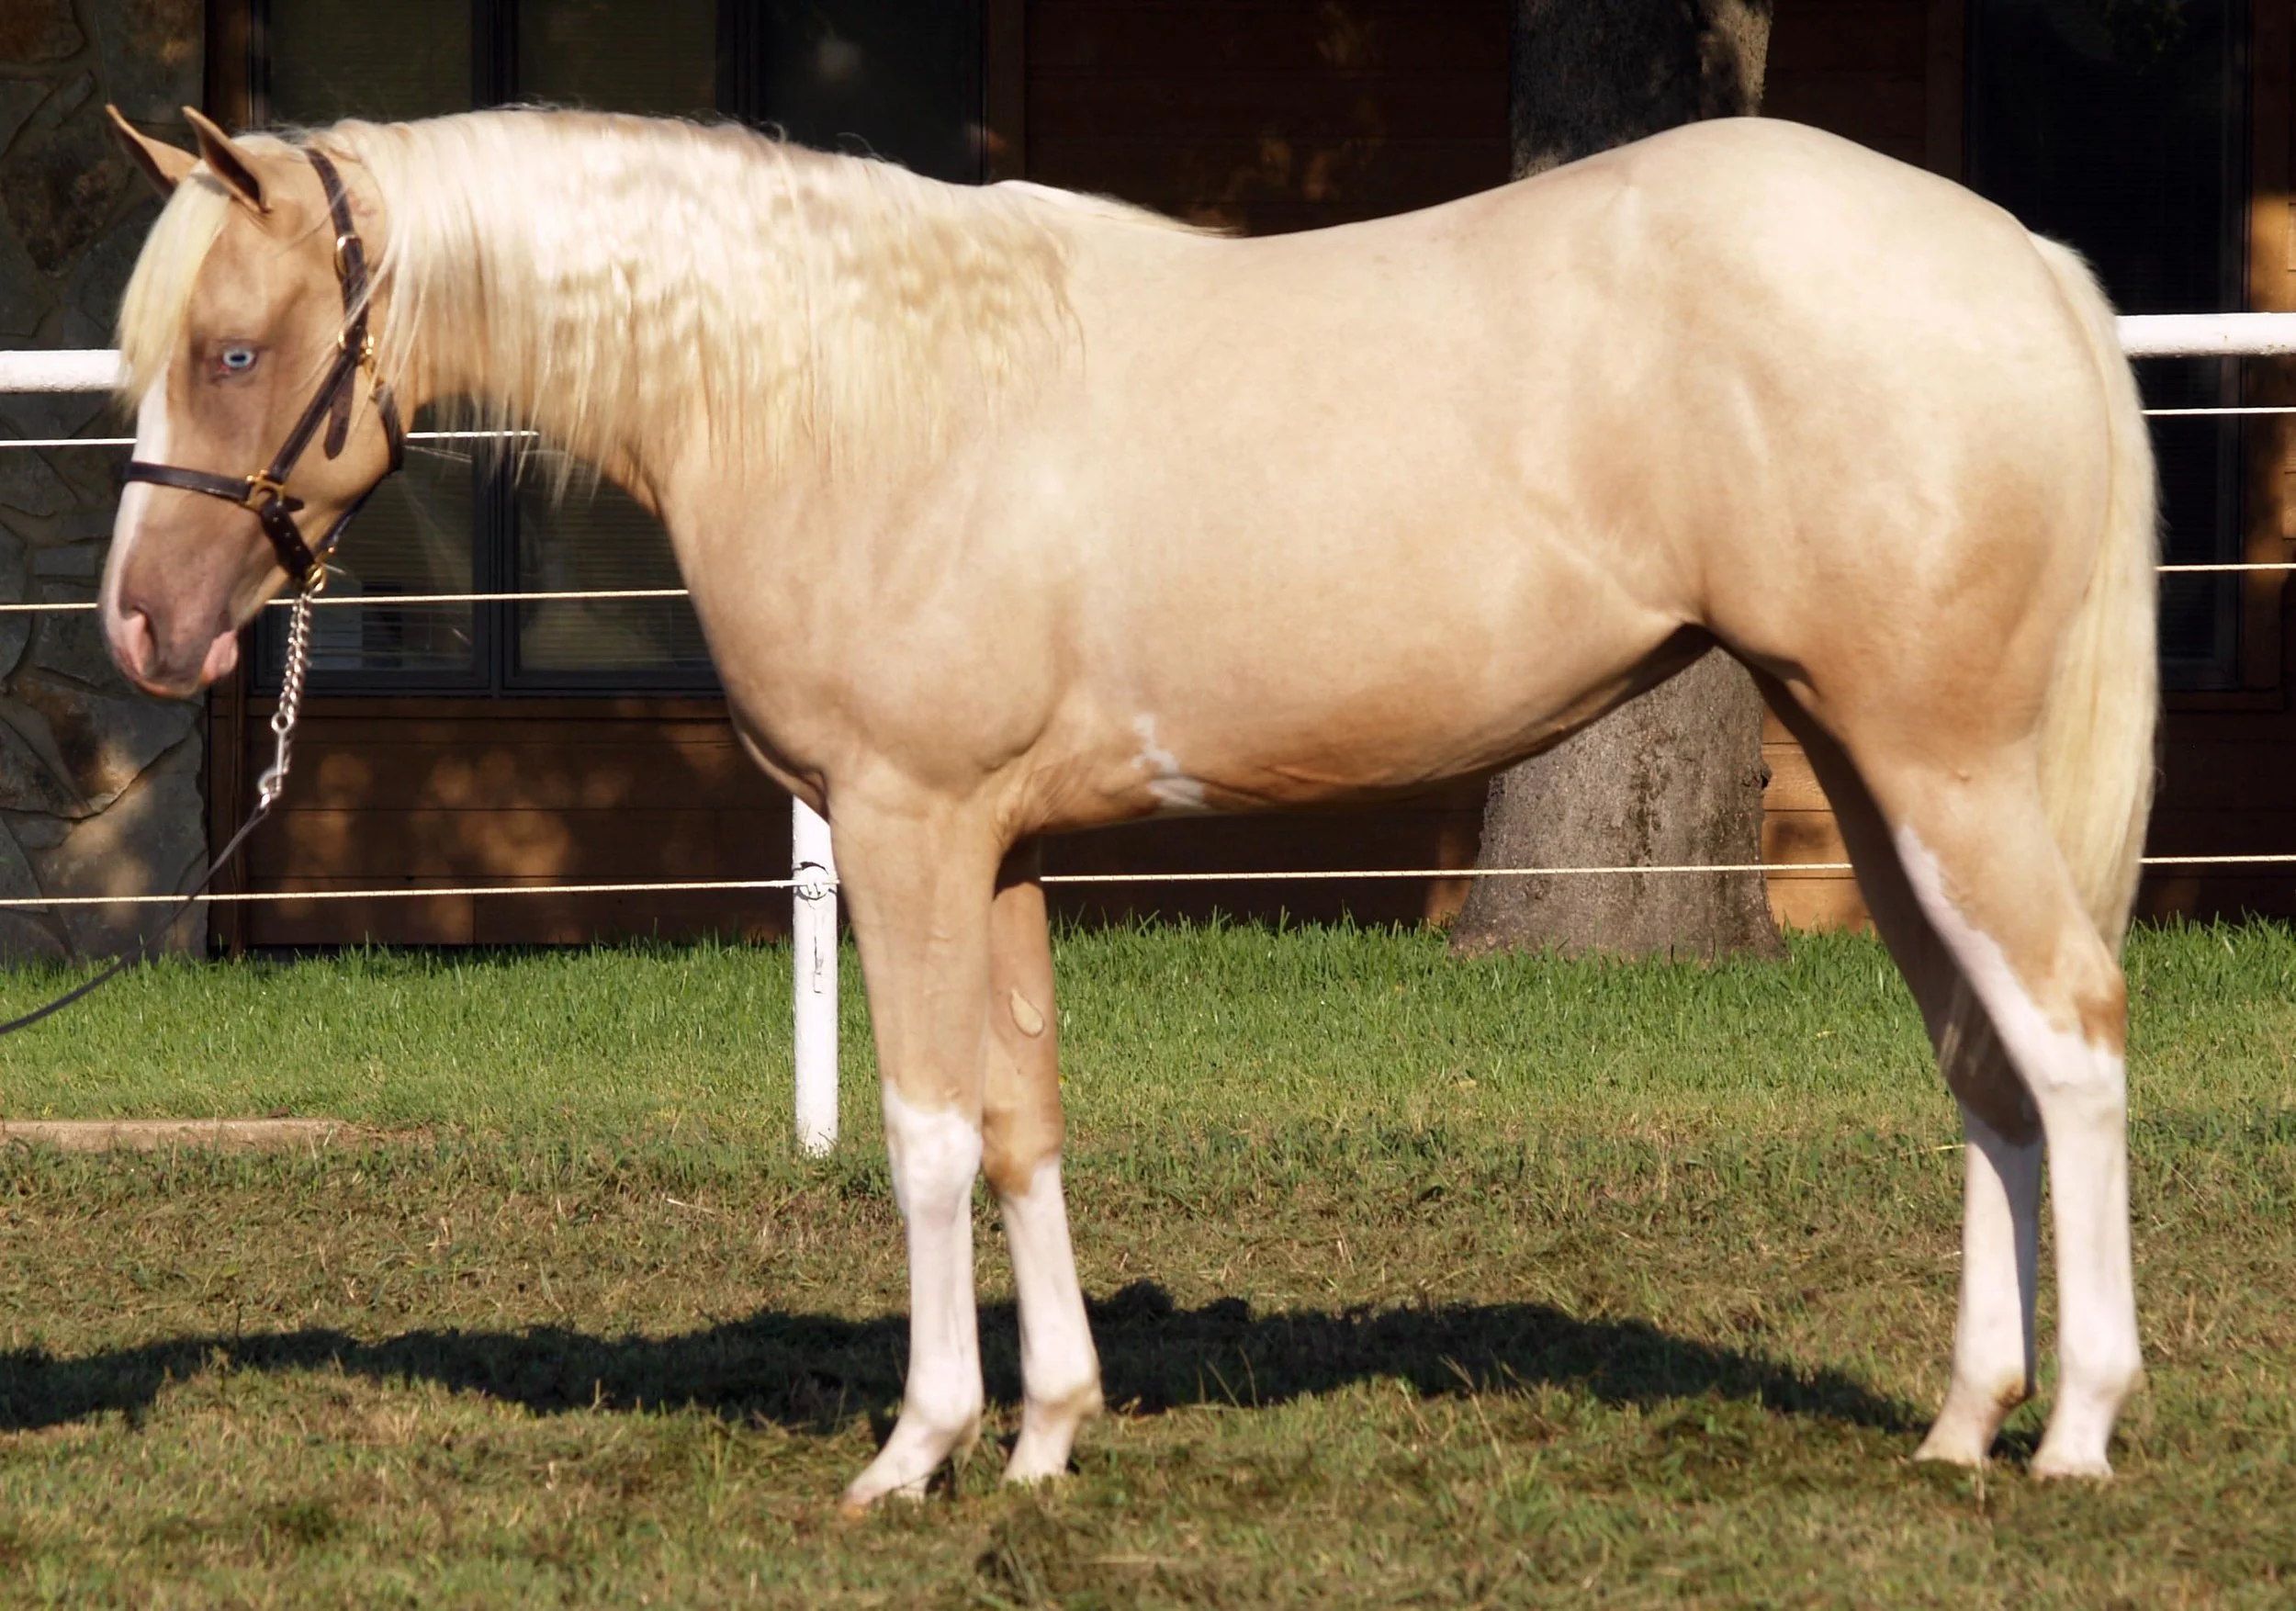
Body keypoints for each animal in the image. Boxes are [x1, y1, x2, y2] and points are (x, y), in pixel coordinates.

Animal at [98, 103, 2157, 1510]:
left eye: (233, 349)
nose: (141, 625)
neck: (839, 387)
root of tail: (2020, 258)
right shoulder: (997, 846)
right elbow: (1024, 1122)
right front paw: (1046, 1435)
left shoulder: (911, 828)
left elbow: (928, 1131)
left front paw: (915, 1449)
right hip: (1874, 774)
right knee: (1980, 1066)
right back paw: (1961, 1421)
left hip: (1940, 766)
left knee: (2064, 1039)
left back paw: (2076, 1428)